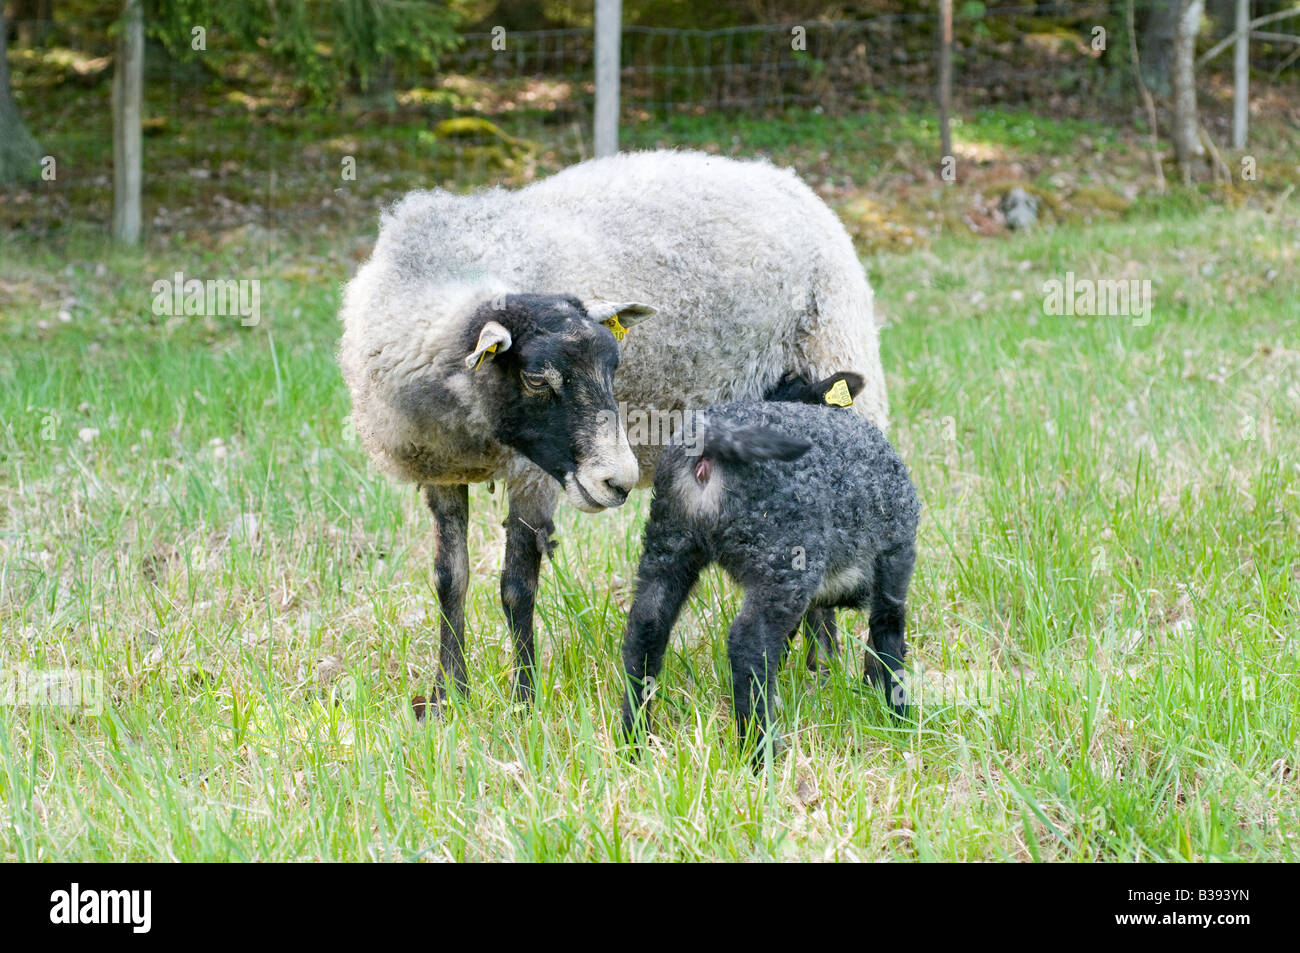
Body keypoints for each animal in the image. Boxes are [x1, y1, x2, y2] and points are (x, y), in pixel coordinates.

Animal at [337, 149, 889, 710]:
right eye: (535, 378)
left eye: (614, 367)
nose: (617, 480)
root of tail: (782, 176)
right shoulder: (443, 469)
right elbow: (451, 579)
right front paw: (448, 694)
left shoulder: (533, 474)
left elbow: (516, 588)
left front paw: (524, 700)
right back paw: (820, 666)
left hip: (837, 360)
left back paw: (835, 669)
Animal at [619, 373, 920, 764]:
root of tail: (709, 440)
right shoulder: (894, 558)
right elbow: (888, 641)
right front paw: (900, 720)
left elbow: (821, 635)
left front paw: (825, 679)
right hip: (783, 555)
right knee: (749, 643)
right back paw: (760, 754)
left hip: (669, 541)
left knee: (647, 627)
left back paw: (635, 741)